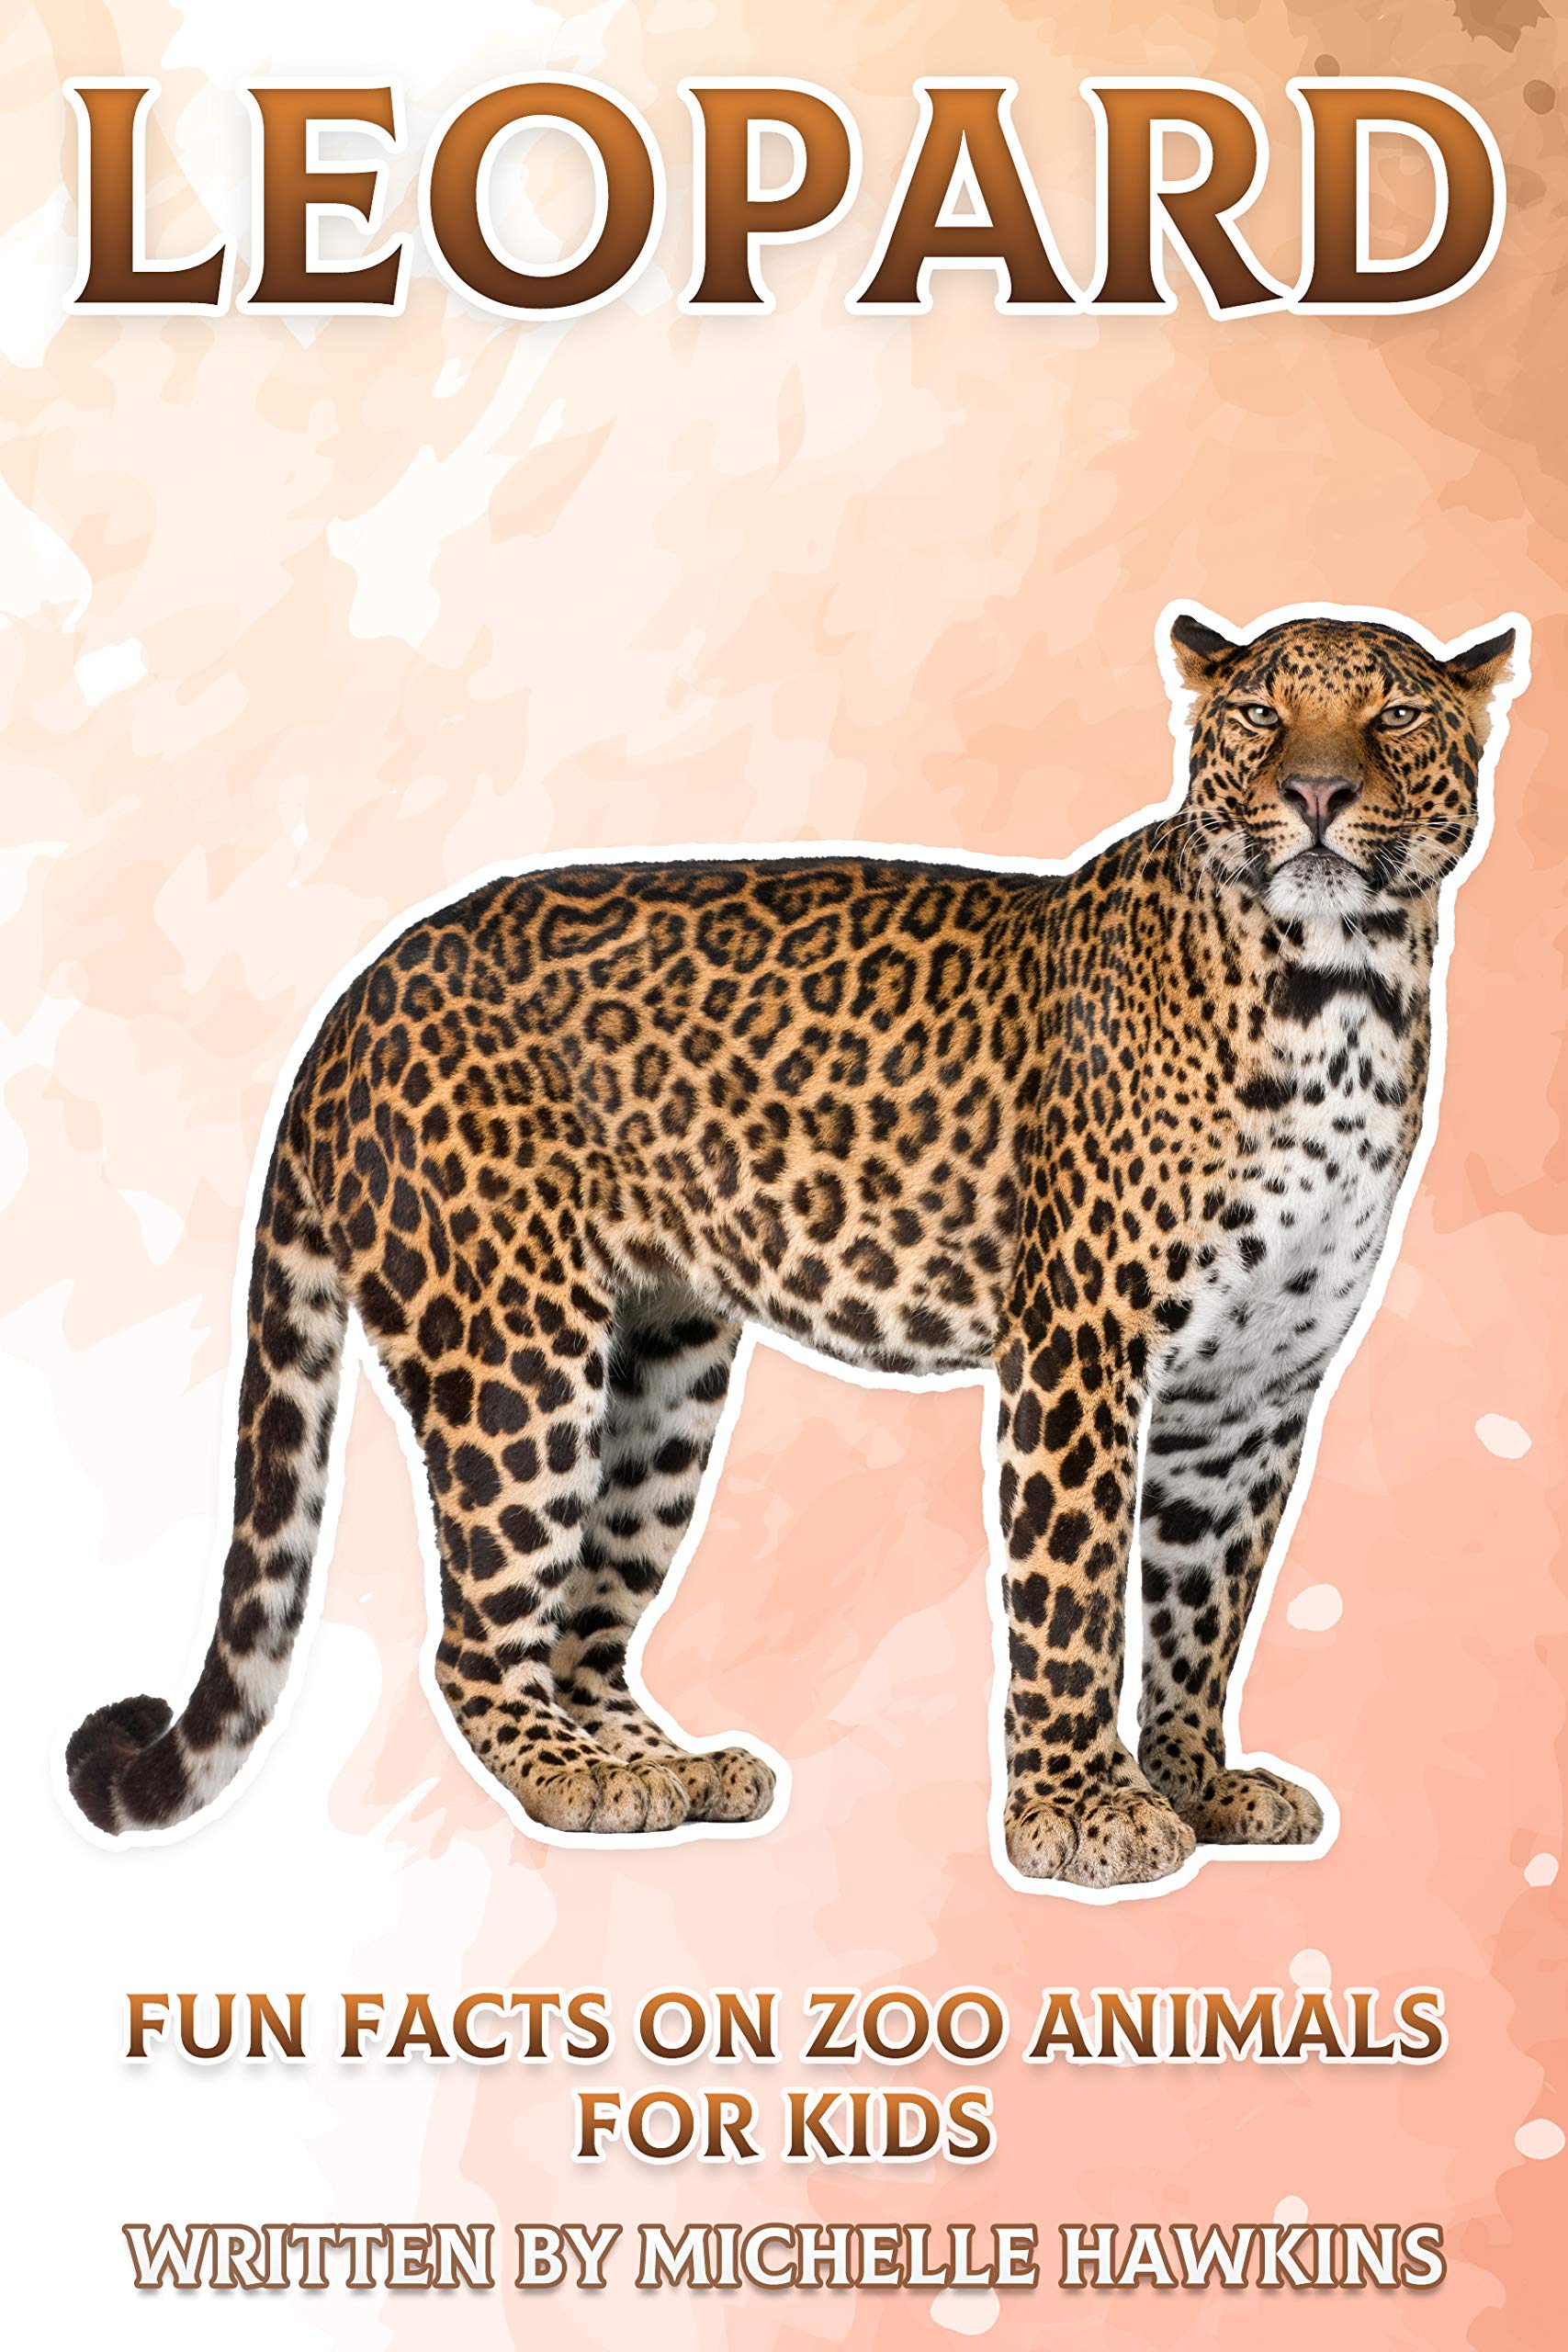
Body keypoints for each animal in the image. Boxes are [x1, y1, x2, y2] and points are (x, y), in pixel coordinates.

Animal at [65, 607, 1518, 1890]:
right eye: (1262, 714)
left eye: (1392, 714)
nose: (1317, 792)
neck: (1341, 992)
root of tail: (354, 994)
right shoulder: (1079, 1348)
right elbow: (1069, 1594)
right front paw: (1077, 1811)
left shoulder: (1256, 1387)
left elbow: (1202, 1605)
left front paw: (1198, 1782)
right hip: (514, 1355)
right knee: (479, 1637)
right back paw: (573, 1779)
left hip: (661, 1371)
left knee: (585, 1622)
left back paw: (664, 1764)